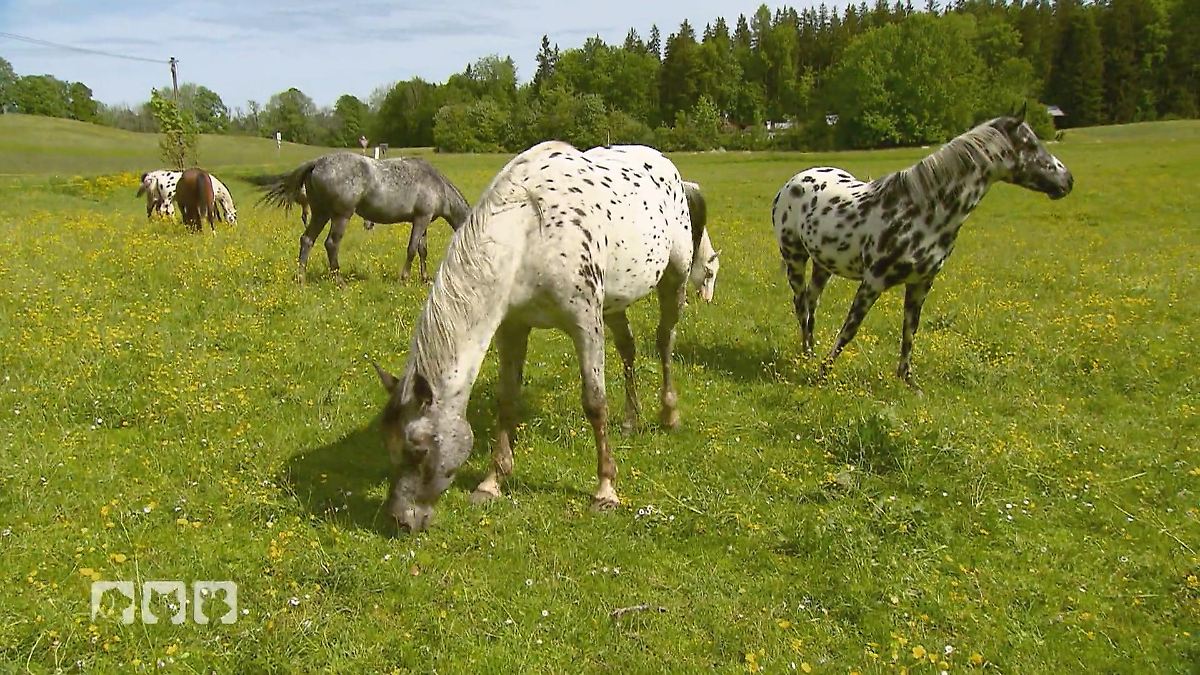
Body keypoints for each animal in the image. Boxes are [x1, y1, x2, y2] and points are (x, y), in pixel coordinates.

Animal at [259, 152, 469, 283]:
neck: (437, 185)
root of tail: (317, 163)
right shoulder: (421, 219)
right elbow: (411, 249)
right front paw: (405, 278)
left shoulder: (422, 221)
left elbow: (422, 250)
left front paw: (425, 278)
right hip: (341, 216)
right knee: (331, 244)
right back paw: (339, 282)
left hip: (320, 213)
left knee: (307, 240)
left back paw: (301, 279)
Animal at [372, 141, 706, 532]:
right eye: (388, 444)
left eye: (420, 449)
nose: (400, 520)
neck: (532, 231)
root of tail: (669, 167)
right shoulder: (513, 326)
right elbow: (507, 399)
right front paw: (491, 483)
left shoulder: (584, 322)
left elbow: (595, 403)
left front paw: (605, 490)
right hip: (614, 303)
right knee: (628, 348)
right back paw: (630, 420)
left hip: (673, 279)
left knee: (664, 341)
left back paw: (669, 414)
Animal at [771, 106, 1073, 387]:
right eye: (1030, 145)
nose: (1068, 180)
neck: (921, 211)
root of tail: (795, 180)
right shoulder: (873, 281)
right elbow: (850, 328)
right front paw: (823, 373)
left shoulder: (921, 283)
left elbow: (909, 332)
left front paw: (907, 381)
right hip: (795, 257)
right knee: (801, 304)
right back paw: (807, 355)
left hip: (823, 264)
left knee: (812, 302)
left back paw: (809, 352)